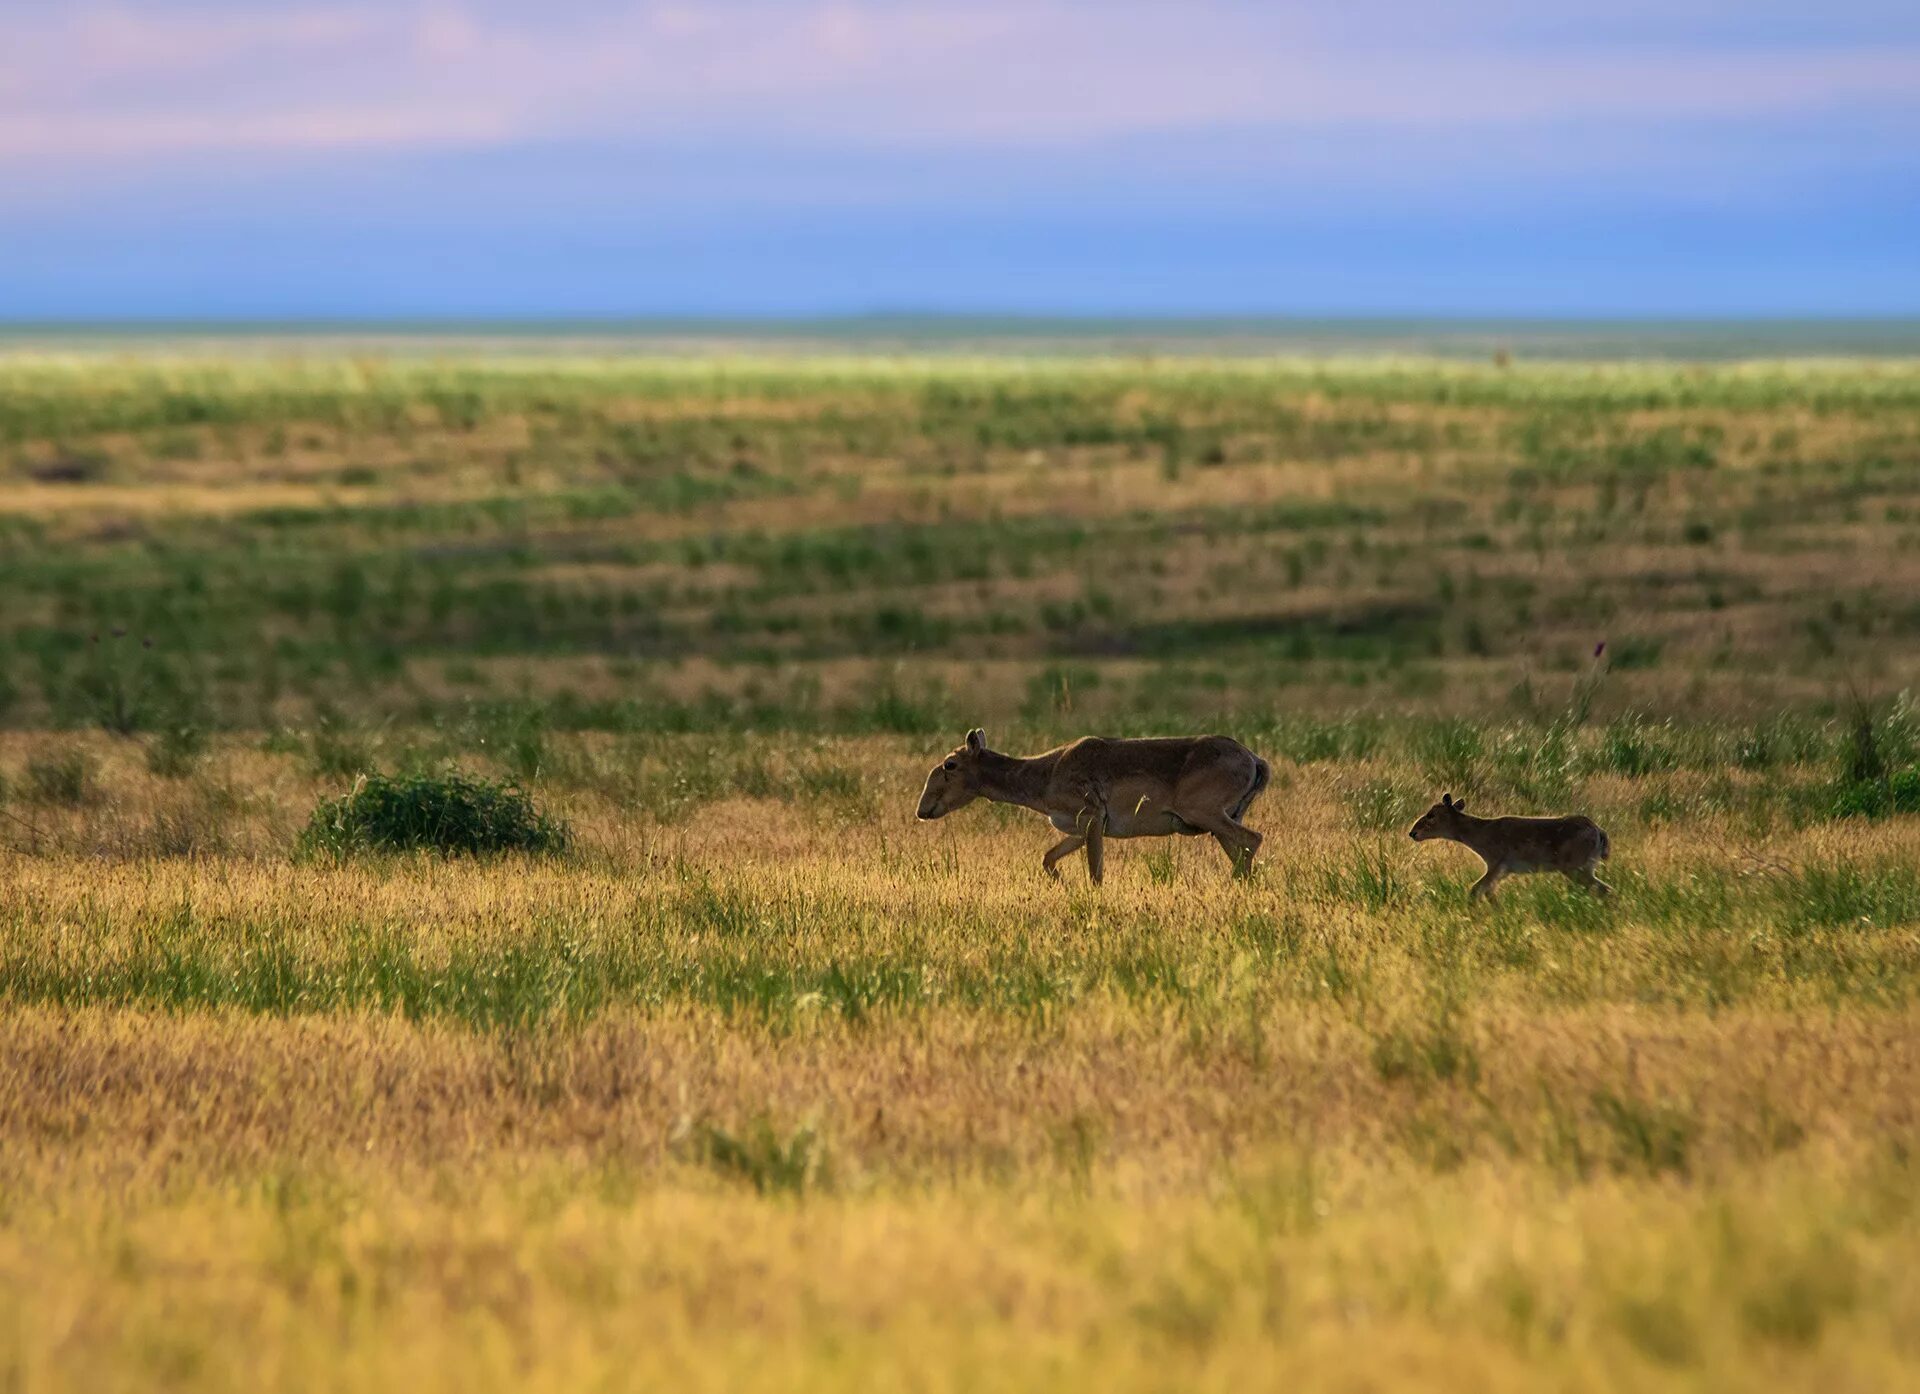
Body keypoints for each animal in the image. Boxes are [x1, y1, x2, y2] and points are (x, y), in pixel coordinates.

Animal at [917, 733, 1267, 883]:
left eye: (950, 764)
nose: (922, 809)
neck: (1046, 775)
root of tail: (1255, 760)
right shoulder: (1076, 829)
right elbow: (1048, 858)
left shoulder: (1092, 819)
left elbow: (1096, 873)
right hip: (1219, 822)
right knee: (1242, 851)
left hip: (1205, 814)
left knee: (1253, 840)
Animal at [1405, 798, 1612, 906]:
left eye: (1431, 814)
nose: (1413, 832)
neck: (1480, 833)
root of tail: (1599, 832)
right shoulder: (1503, 871)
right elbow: (1489, 893)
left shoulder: (1497, 864)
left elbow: (1474, 890)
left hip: (1576, 868)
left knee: (1604, 889)